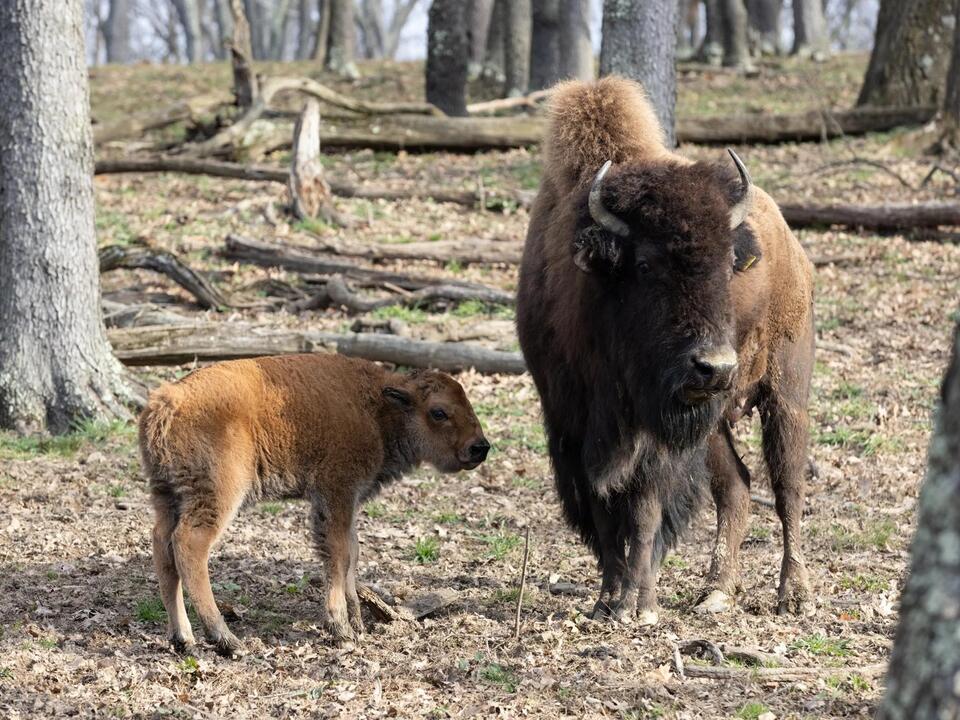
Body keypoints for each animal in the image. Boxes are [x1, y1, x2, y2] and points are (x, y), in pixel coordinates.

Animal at [516, 77, 815, 623]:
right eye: (646, 265)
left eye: (727, 264)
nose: (714, 366)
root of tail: (792, 249)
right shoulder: (572, 422)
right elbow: (603, 510)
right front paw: (608, 599)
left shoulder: (653, 431)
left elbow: (645, 508)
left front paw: (641, 603)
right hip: (714, 418)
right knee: (736, 486)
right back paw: (717, 591)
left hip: (786, 395)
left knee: (788, 488)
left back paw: (794, 594)